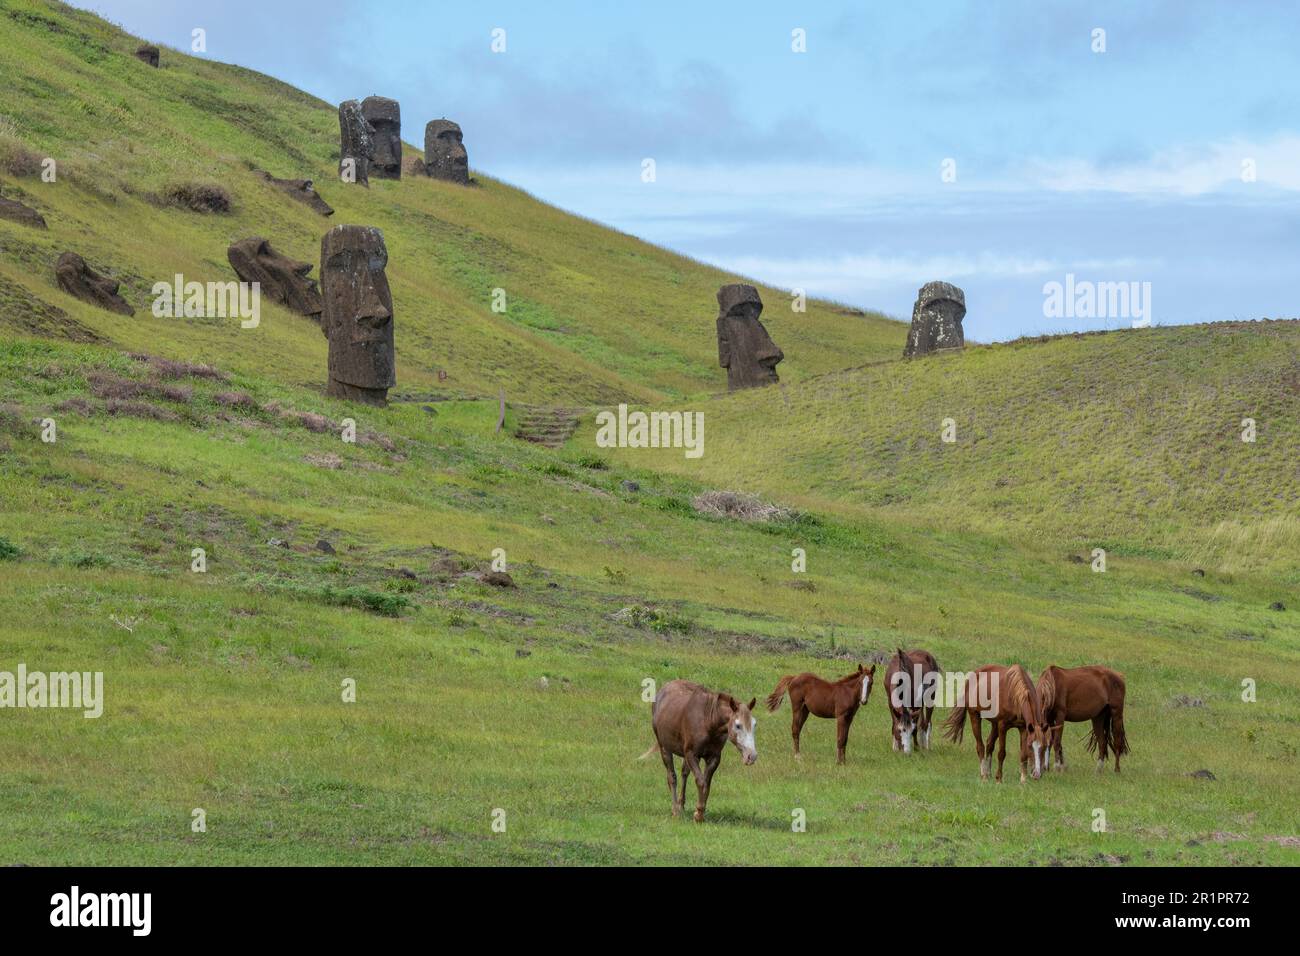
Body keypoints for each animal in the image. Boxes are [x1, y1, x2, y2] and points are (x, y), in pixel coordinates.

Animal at [640, 679, 757, 822]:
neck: (708, 720)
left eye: (754, 724)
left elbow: (707, 783)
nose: (752, 756)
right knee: (672, 777)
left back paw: (681, 805)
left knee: (684, 773)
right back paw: (675, 810)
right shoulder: (692, 755)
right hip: (665, 748)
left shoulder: (714, 758)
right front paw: (698, 814)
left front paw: (699, 811)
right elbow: (700, 782)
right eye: (738, 725)